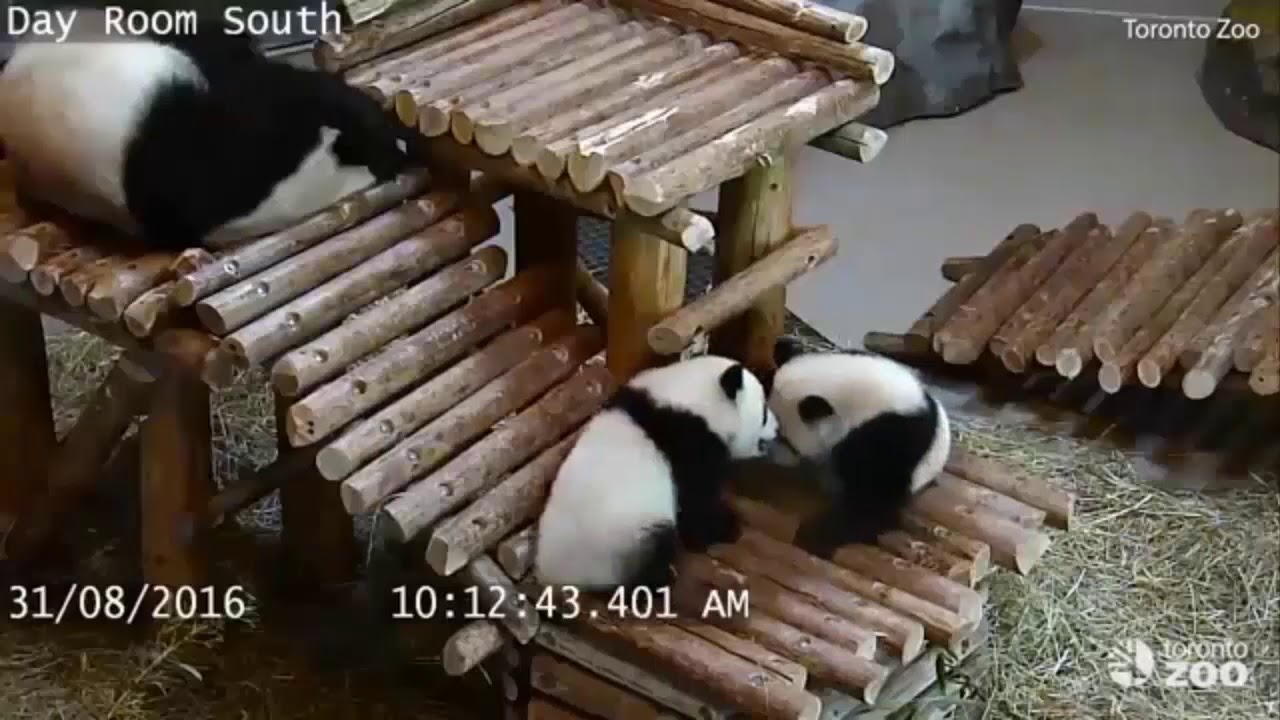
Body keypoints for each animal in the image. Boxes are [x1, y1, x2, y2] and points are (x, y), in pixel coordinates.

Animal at [533, 355, 779, 593]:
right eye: (764, 414)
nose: (777, 429)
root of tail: (553, 577)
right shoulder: (690, 444)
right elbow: (696, 500)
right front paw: (725, 527)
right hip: (622, 537)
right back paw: (661, 577)